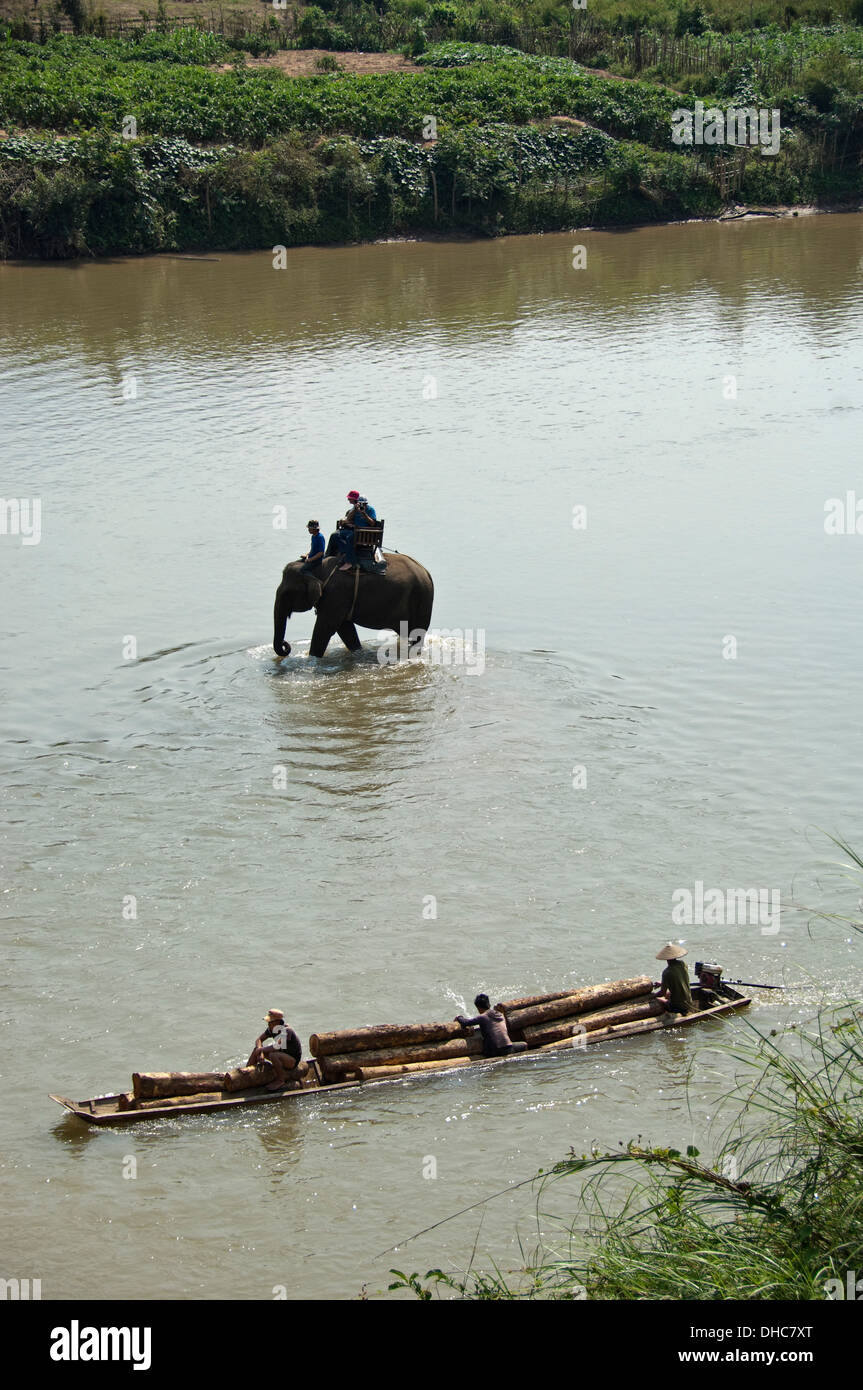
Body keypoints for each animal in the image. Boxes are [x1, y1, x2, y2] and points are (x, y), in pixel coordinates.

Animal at [273, 553, 434, 659]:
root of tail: (427, 572)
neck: (315, 568)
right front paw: (358, 651)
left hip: (422, 599)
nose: (286, 645)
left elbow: (325, 628)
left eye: (286, 594)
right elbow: (345, 628)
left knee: (416, 634)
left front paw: (312, 658)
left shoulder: (336, 595)